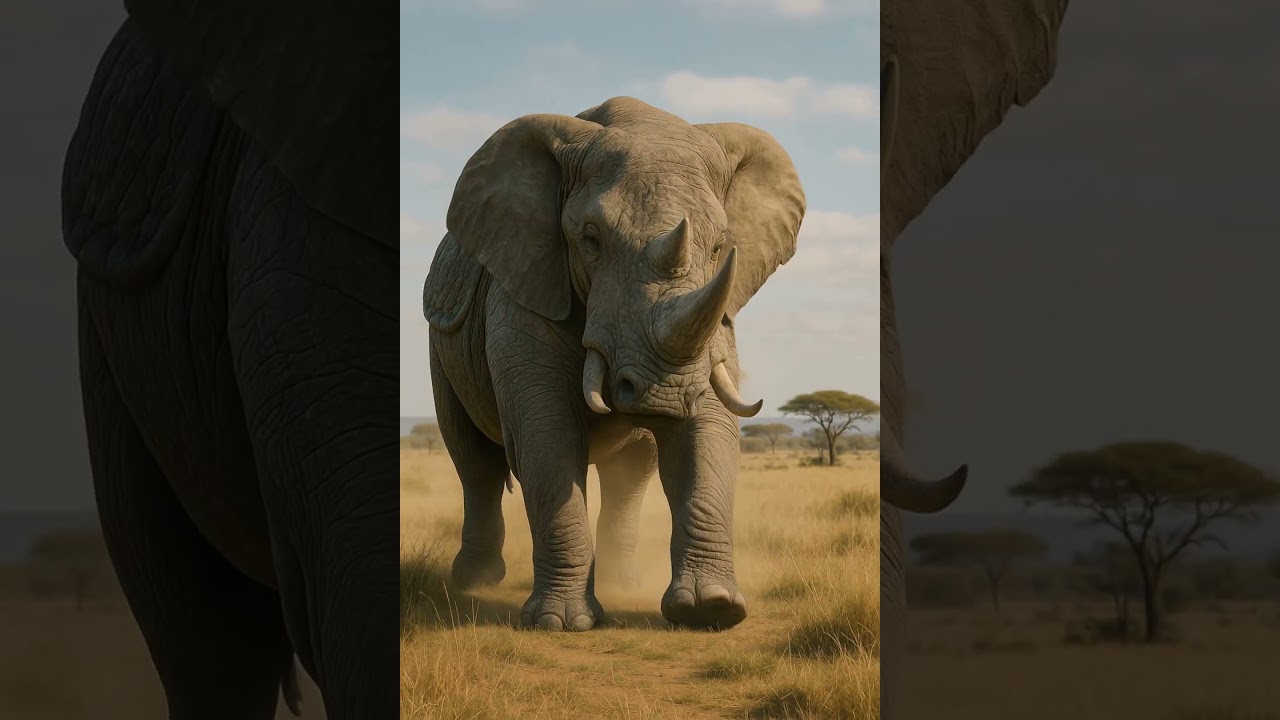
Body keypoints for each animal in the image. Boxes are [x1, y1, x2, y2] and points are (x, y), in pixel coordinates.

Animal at [423, 96, 805, 632]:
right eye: (590, 239)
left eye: (719, 247)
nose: (660, 396)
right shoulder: (525, 284)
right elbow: (546, 433)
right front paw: (560, 624)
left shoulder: (718, 308)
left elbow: (709, 428)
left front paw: (712, 610)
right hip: (442, 344)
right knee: (472, 458)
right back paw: (474, 582)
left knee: (630, 474)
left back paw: (623, 583)